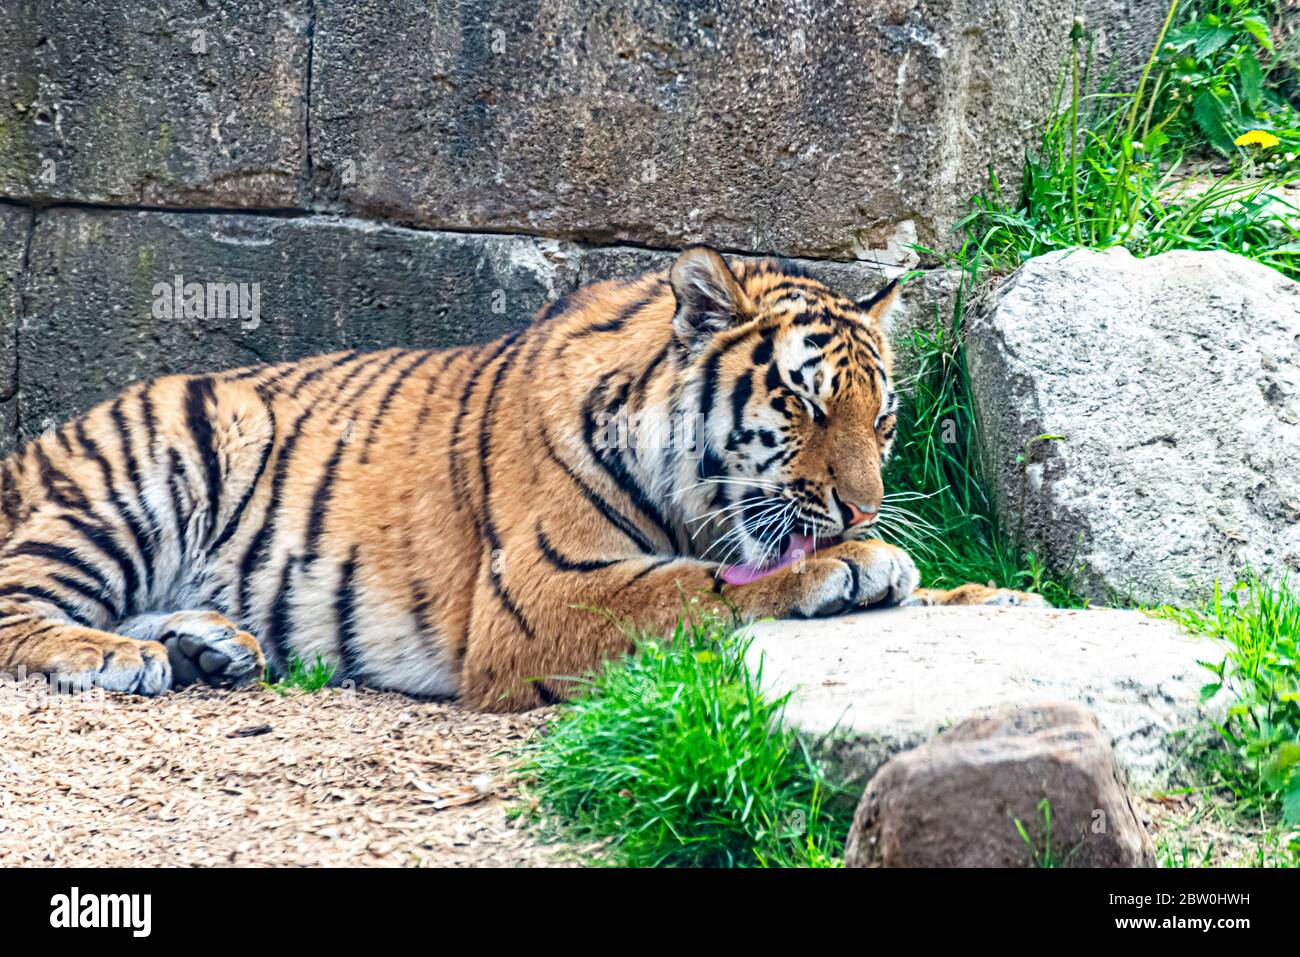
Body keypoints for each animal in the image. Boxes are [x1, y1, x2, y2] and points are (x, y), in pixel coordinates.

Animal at [0, 246, 1041, 711]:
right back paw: (119, 655)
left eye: (884, 417)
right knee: (18, 602)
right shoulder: (538, 592)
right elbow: (694, 586)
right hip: (148, 469)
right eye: (805, 404)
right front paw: (848, 565)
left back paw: (211, 644)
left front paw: (992, 597)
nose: (865, 506)